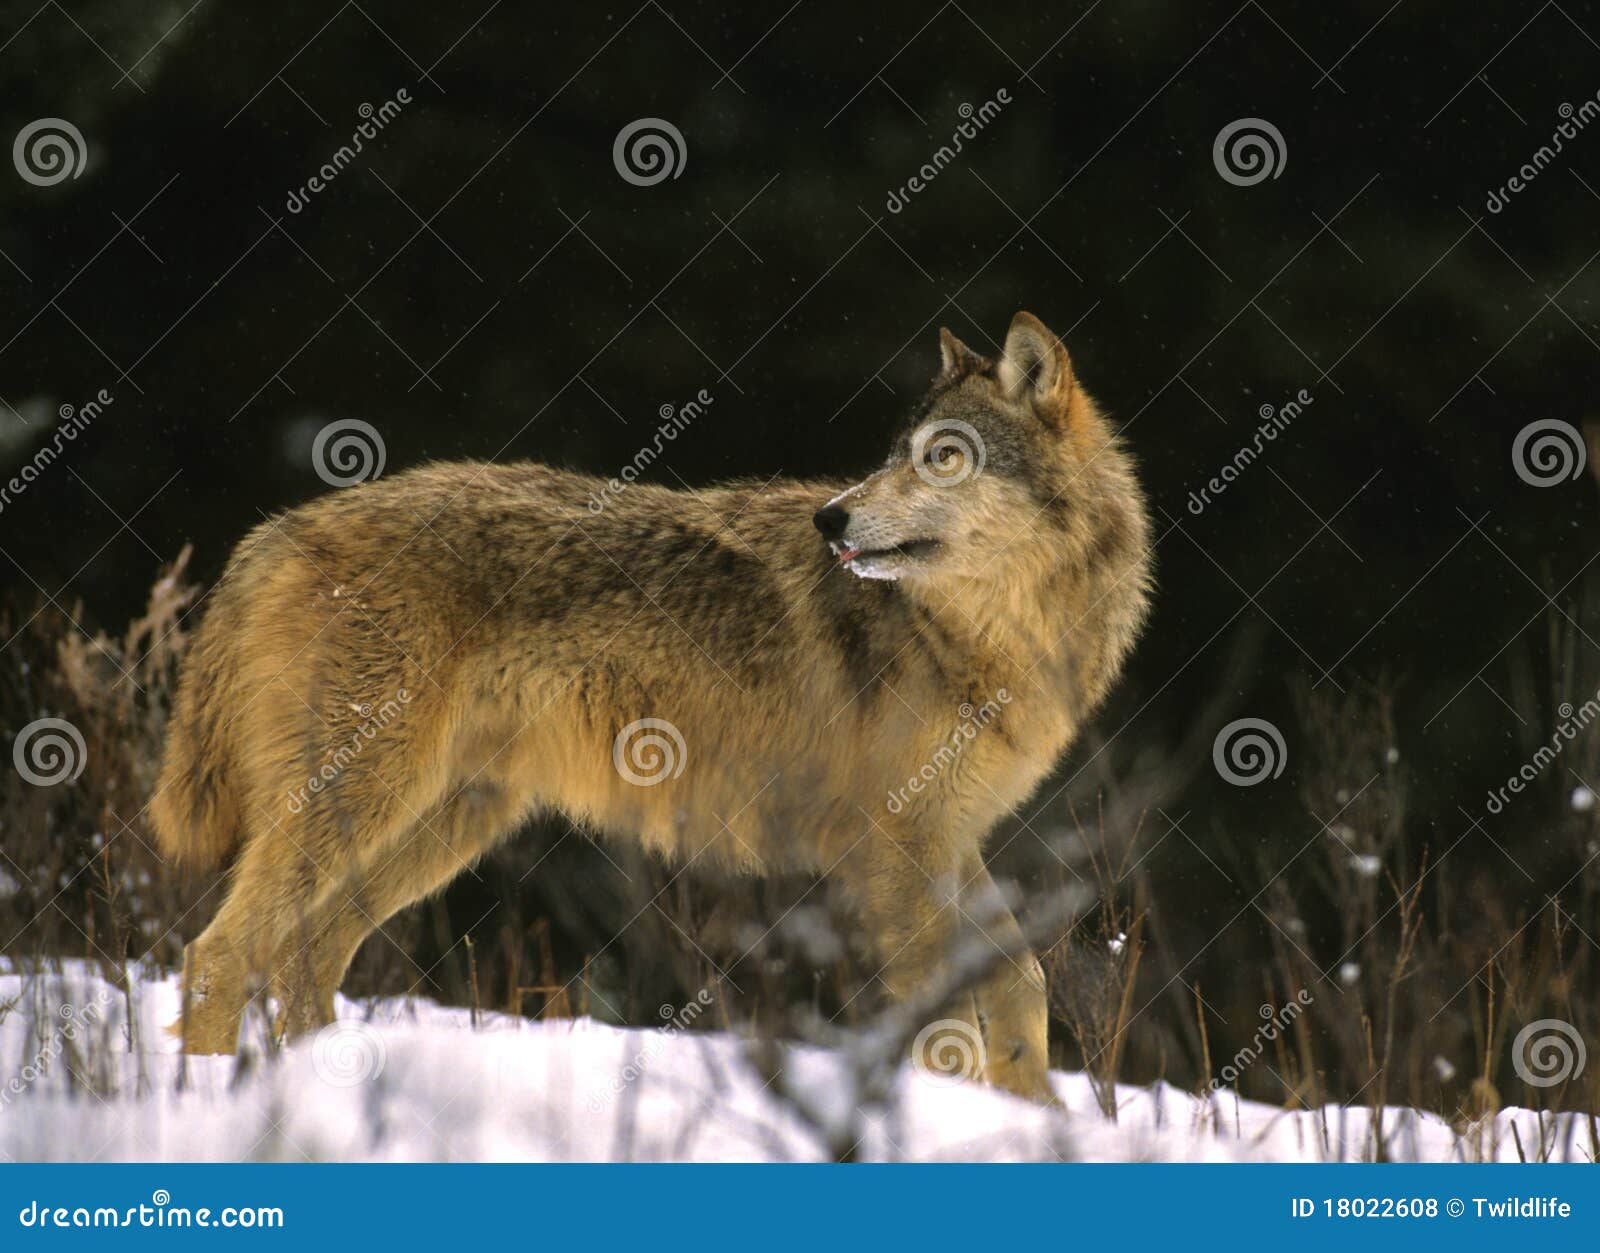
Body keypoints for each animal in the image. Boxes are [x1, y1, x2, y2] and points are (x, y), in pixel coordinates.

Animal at [150, 311, 1152, 1104]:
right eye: (892, 456)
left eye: (944, 457)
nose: (831, 519)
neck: (987, 636)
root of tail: (273, 531)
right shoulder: (895, 844)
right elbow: (948, 1019)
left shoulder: (947, 836)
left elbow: (1020, 981)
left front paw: (1038, 1120)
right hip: (360, 808)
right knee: (218, 955)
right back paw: (210, 1100)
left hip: (437, 826)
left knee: (301, 961)